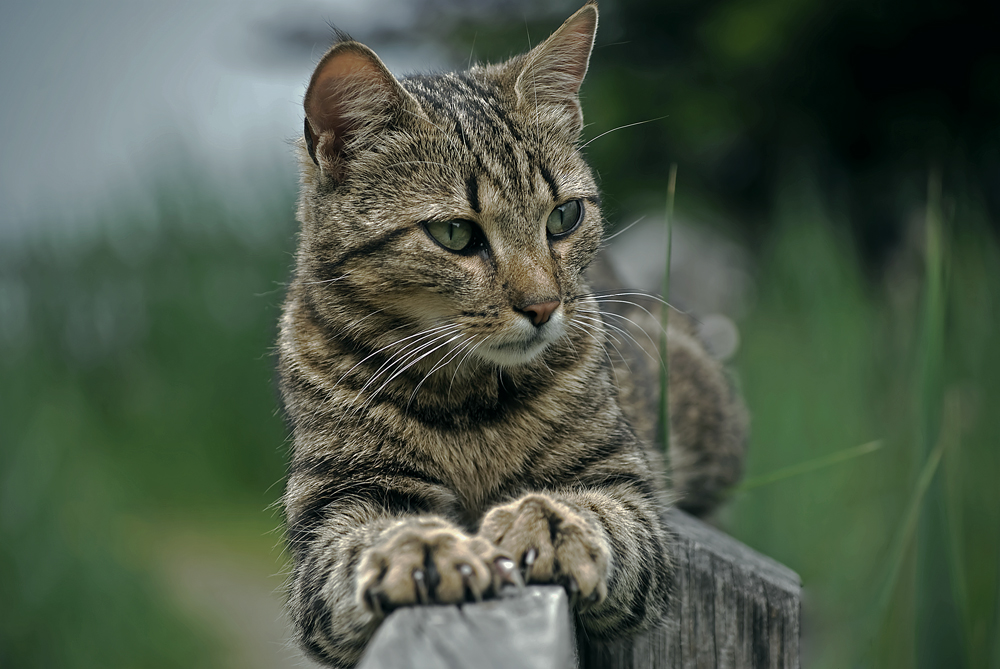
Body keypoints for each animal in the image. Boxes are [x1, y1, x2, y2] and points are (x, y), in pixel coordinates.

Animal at [278, 2, 748, 664]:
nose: (544, 305)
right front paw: (420, 548)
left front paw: (548, 523)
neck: (468, 404)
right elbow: (356, 545)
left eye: (564, 216)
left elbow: (606, 514)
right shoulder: (335, 500)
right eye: (454, 233)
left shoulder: (624, 482)